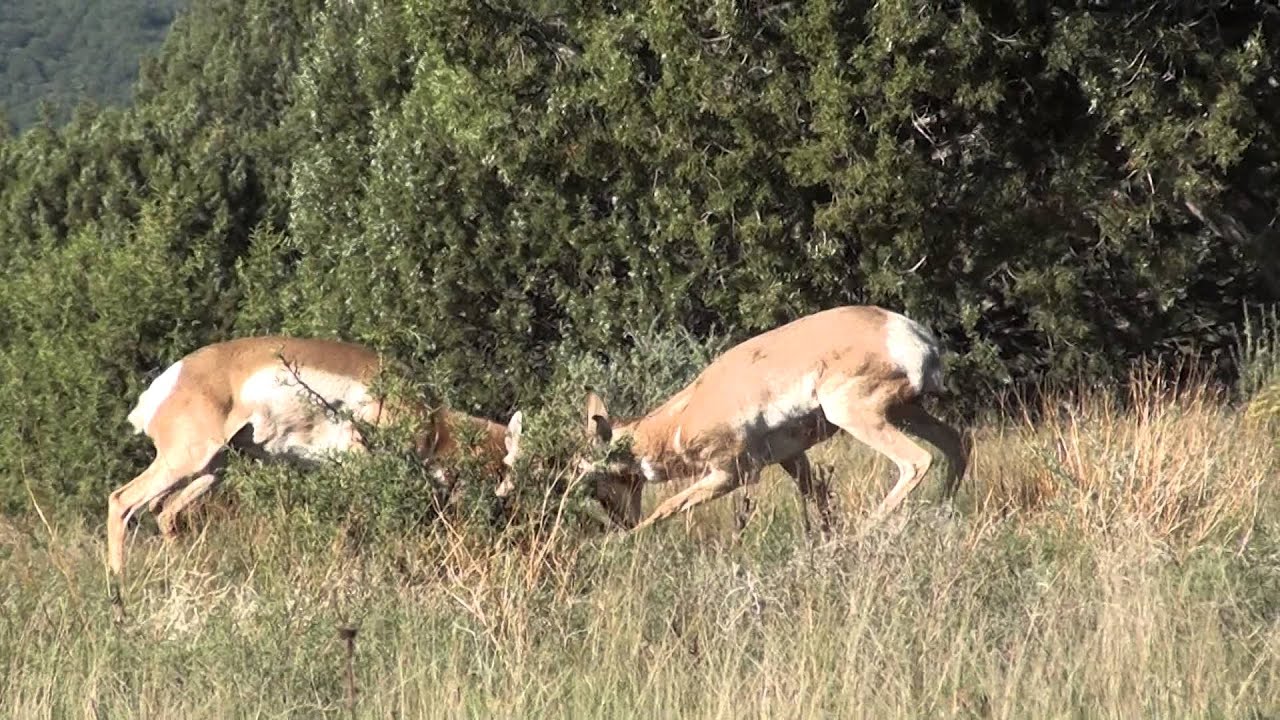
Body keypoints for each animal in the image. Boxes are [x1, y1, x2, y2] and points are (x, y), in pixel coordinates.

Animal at [108, 336, 523, 590]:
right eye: (509, 460)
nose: (508, 500)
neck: (434, 420)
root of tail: (171, 378)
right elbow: (353, 528)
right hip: (188, 460)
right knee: (121, 501)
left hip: (212, 470)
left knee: (165, 513)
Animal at [577, 305, 967, 533]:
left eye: (594, 482)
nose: (619, 523)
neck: (683, 416)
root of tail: (912, 333)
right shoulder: (792, 457)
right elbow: (818, 497)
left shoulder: (731, 474)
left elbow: (669, 505)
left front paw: (628, 541)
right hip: (905, 411)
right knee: (955, 443)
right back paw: (942, 511)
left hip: (854, 413)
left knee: (917, 460)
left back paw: (866, 531)